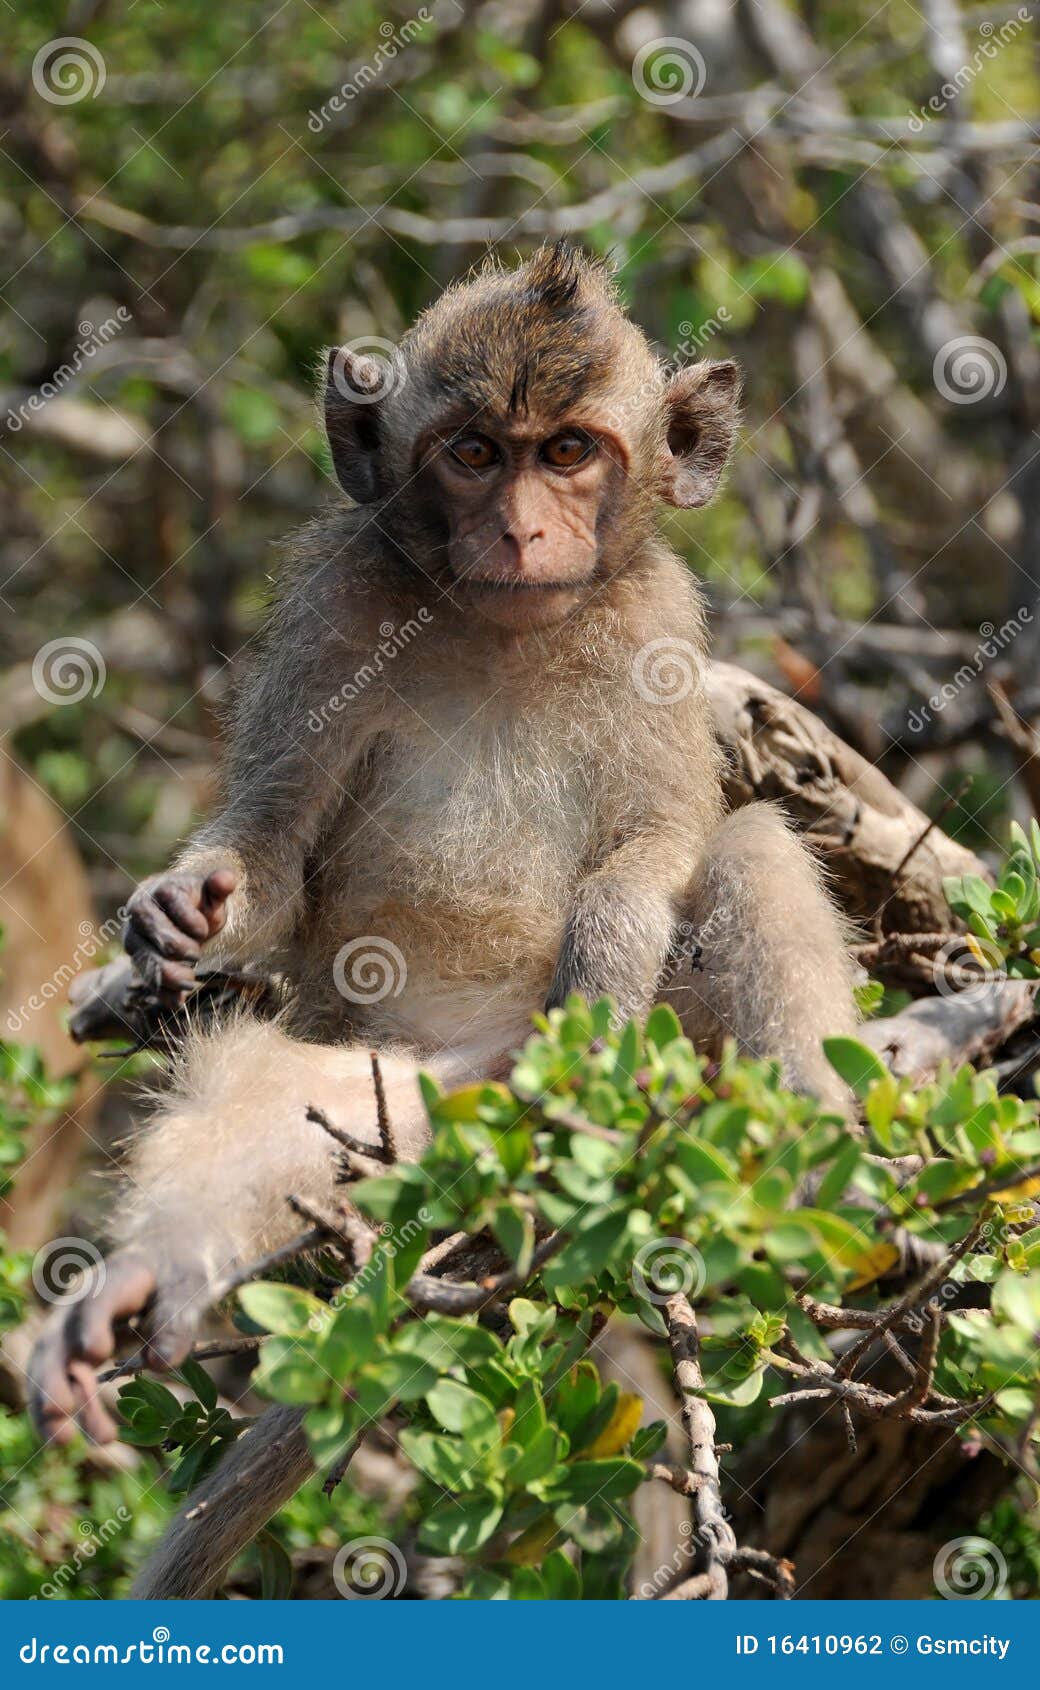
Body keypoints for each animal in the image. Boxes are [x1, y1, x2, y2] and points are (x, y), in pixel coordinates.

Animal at [26, 243, 856, 1589]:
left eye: (567, 452)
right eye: (472, 452)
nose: (521, 528)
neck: (504, 628)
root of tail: (512, 1091)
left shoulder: (656, 620)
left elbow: (666, 842)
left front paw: (607, 946)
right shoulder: (335, 604)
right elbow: (272, 850)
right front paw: (190, 906)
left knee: (747, 851)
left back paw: (827, 1161)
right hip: (415, 1103)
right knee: (264, 1101)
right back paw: (146, 1280)